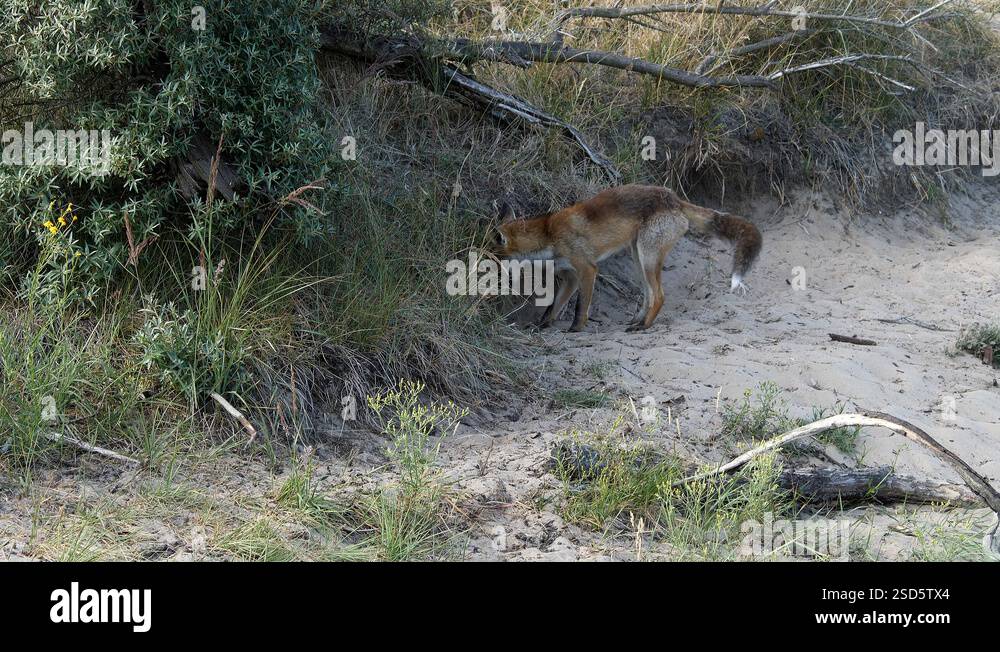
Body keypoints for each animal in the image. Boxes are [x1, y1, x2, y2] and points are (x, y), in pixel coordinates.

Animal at [491, 184, 762, 332]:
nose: (489, 278)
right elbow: (552, 307)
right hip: (637, 257)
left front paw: (575, 329)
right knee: (648, 296)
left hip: (647, 256)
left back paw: (644, 327)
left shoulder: (586, 268)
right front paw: (541, 326)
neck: (549, 233)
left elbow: (580, 307)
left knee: (659, 296)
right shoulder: (569, 275)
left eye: (492, 257)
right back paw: (638, 320)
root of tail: (674, 198)